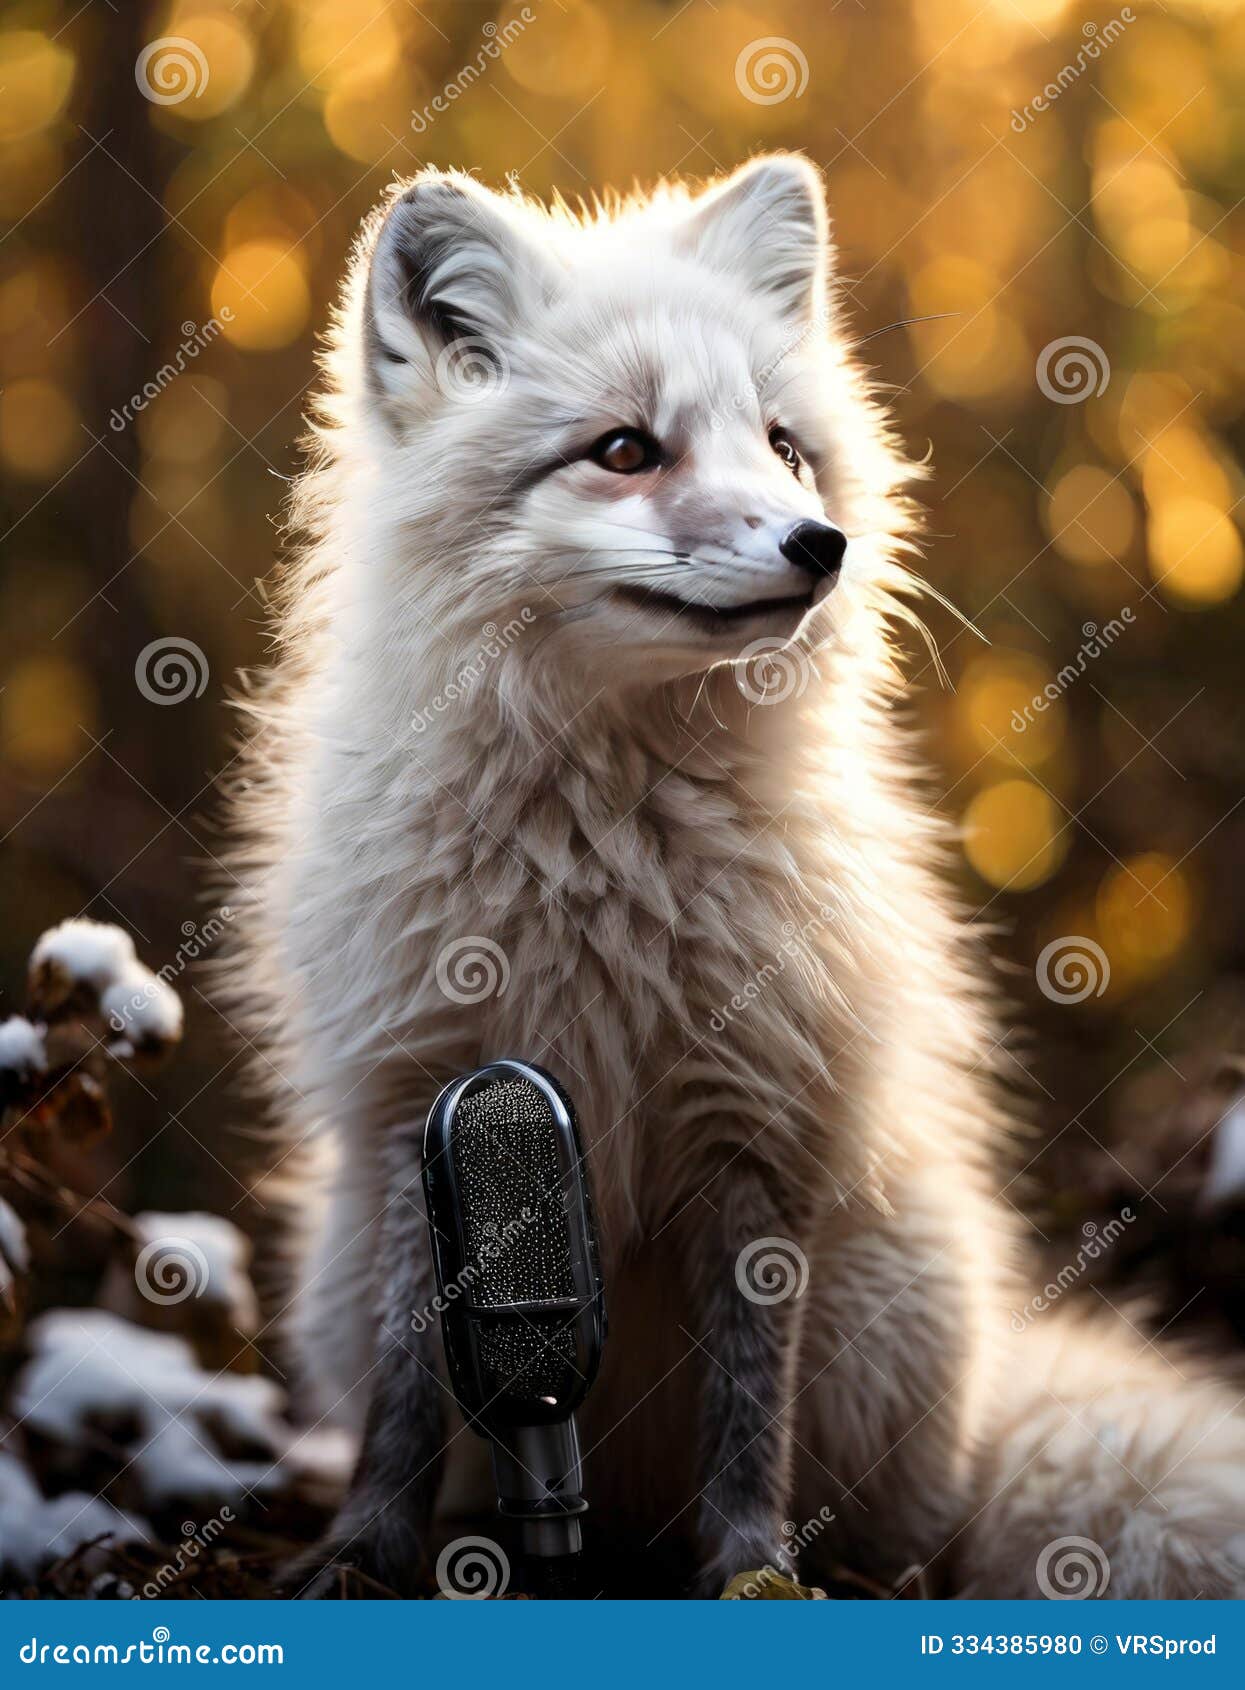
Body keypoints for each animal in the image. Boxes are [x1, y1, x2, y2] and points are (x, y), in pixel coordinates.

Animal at [222, 155, 1245, 1598]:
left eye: (782, 444)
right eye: (625, 450)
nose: (820, 543)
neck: (600, 848)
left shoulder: (755, 1125)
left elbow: (750, 1420)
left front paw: (756, 1573)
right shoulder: (421, 1099)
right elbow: (405, 1399)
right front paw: (364, 1554)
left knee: (911, 1532)